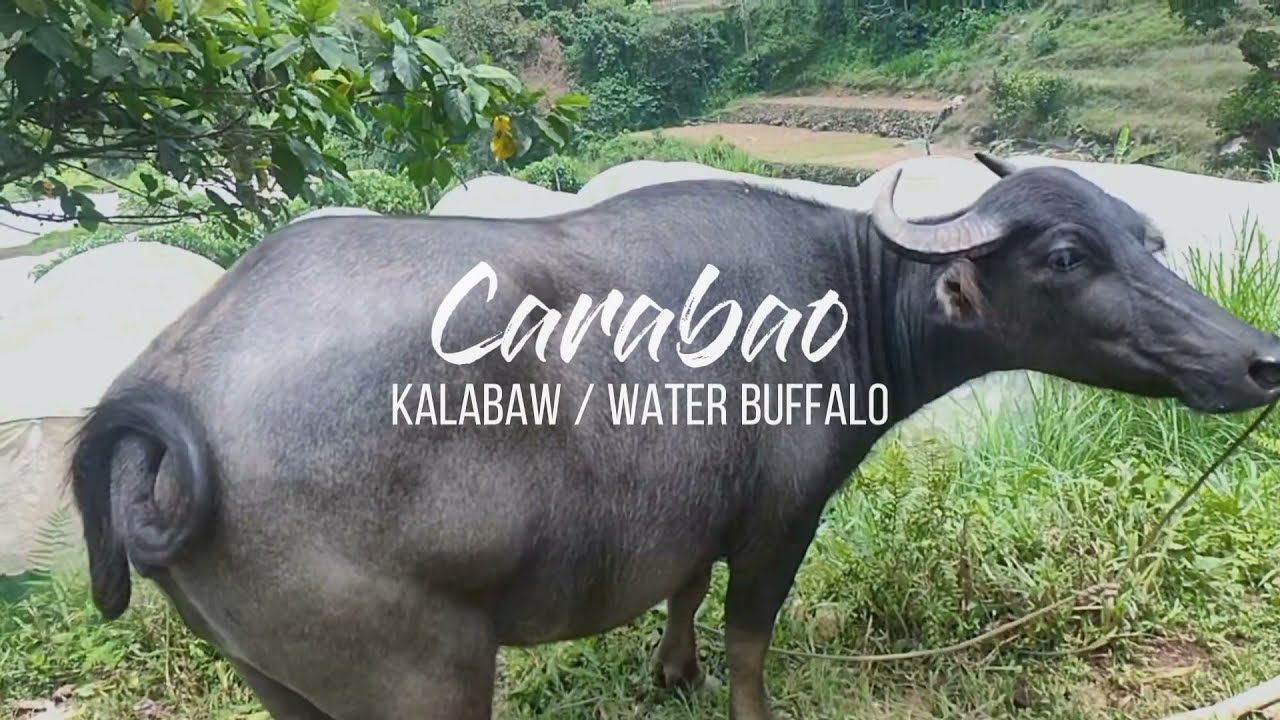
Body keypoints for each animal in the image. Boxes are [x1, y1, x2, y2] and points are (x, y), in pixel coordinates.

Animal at [69, 154, 1280, 719]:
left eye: (1146, 239)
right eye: (1067, 255)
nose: (1260, 359)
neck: (848, 294)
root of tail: (167, 383)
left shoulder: (702, 511)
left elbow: (686, 589)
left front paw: (669, 669)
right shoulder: (785, 515)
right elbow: (751, 631)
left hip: (264, 673)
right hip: (422, 675)